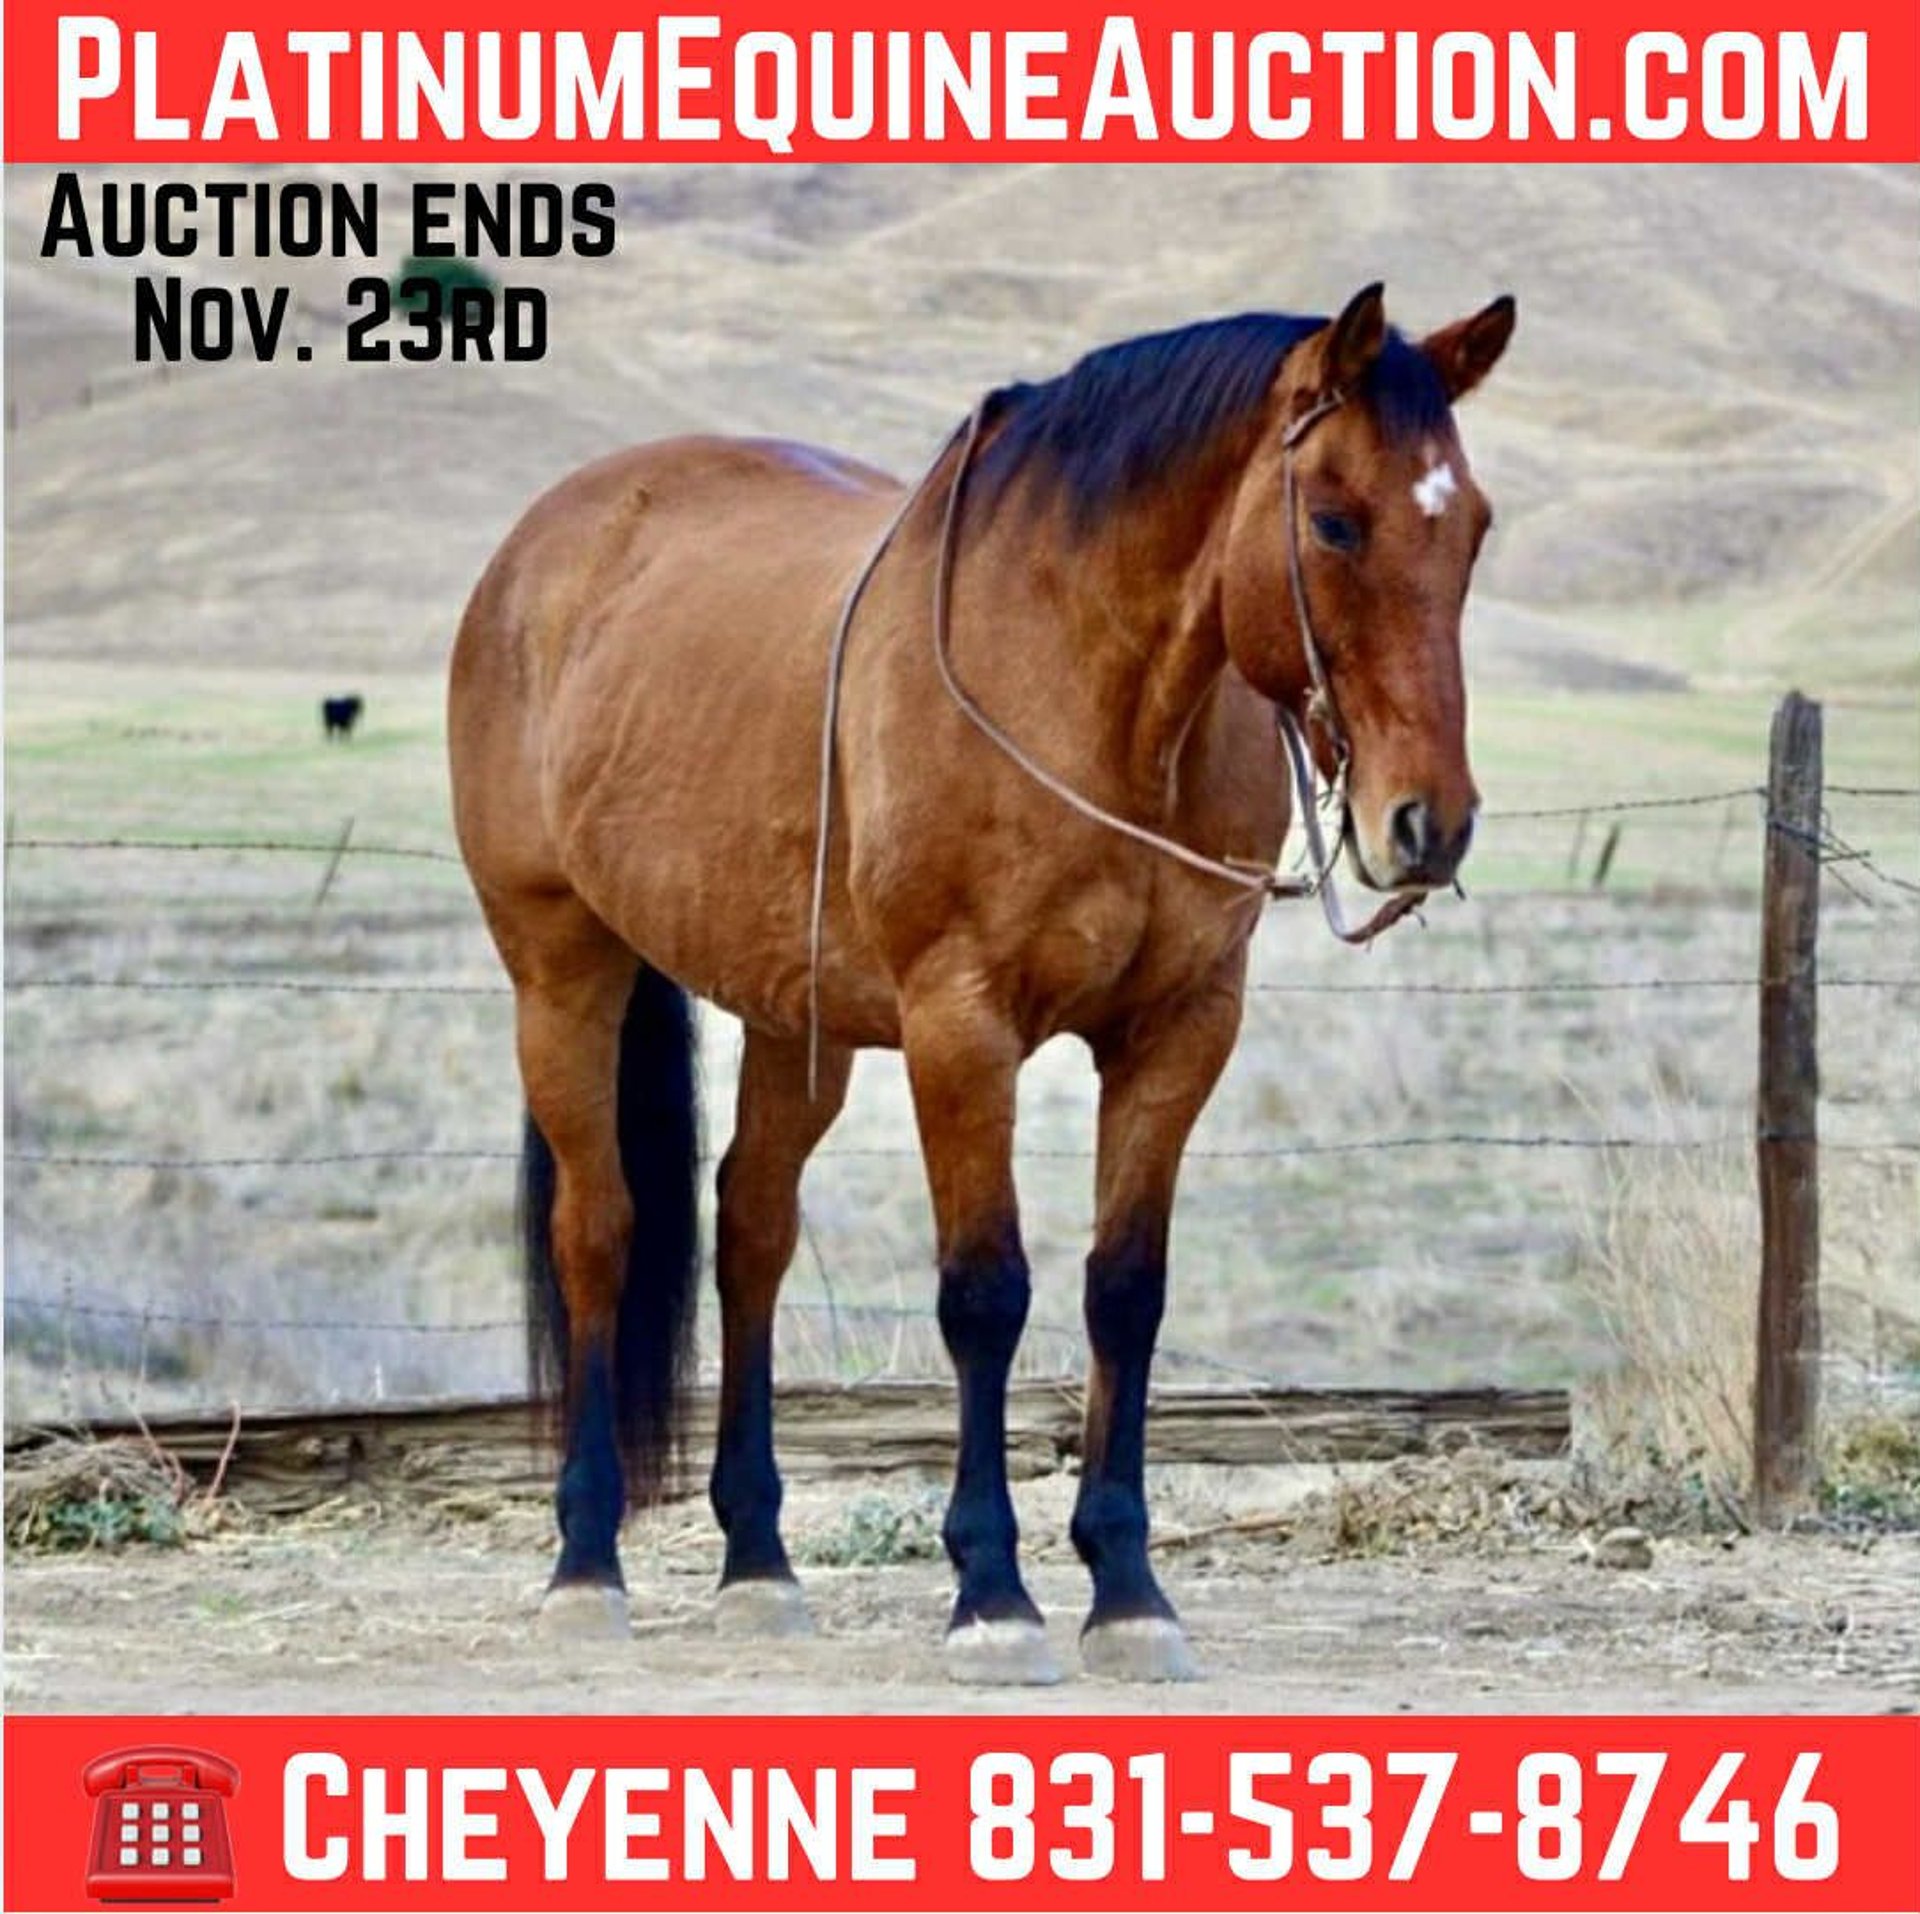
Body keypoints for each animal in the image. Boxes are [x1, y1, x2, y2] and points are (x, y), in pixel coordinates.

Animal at [448, 282, 1515, 1683]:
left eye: (1474, 527)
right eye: (1335, 519)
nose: (1427, 824)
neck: (1093, 693)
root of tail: (543, 545)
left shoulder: (1180, 1030)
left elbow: (1125, 1291)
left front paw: (1127, 1589)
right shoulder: (963, 1031)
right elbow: (986, 1294)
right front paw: (993, 1593)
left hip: (794, 1020)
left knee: (751, 1232)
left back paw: (758, 1562)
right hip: (563, 969)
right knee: (602, 1230)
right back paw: (585, 1561)